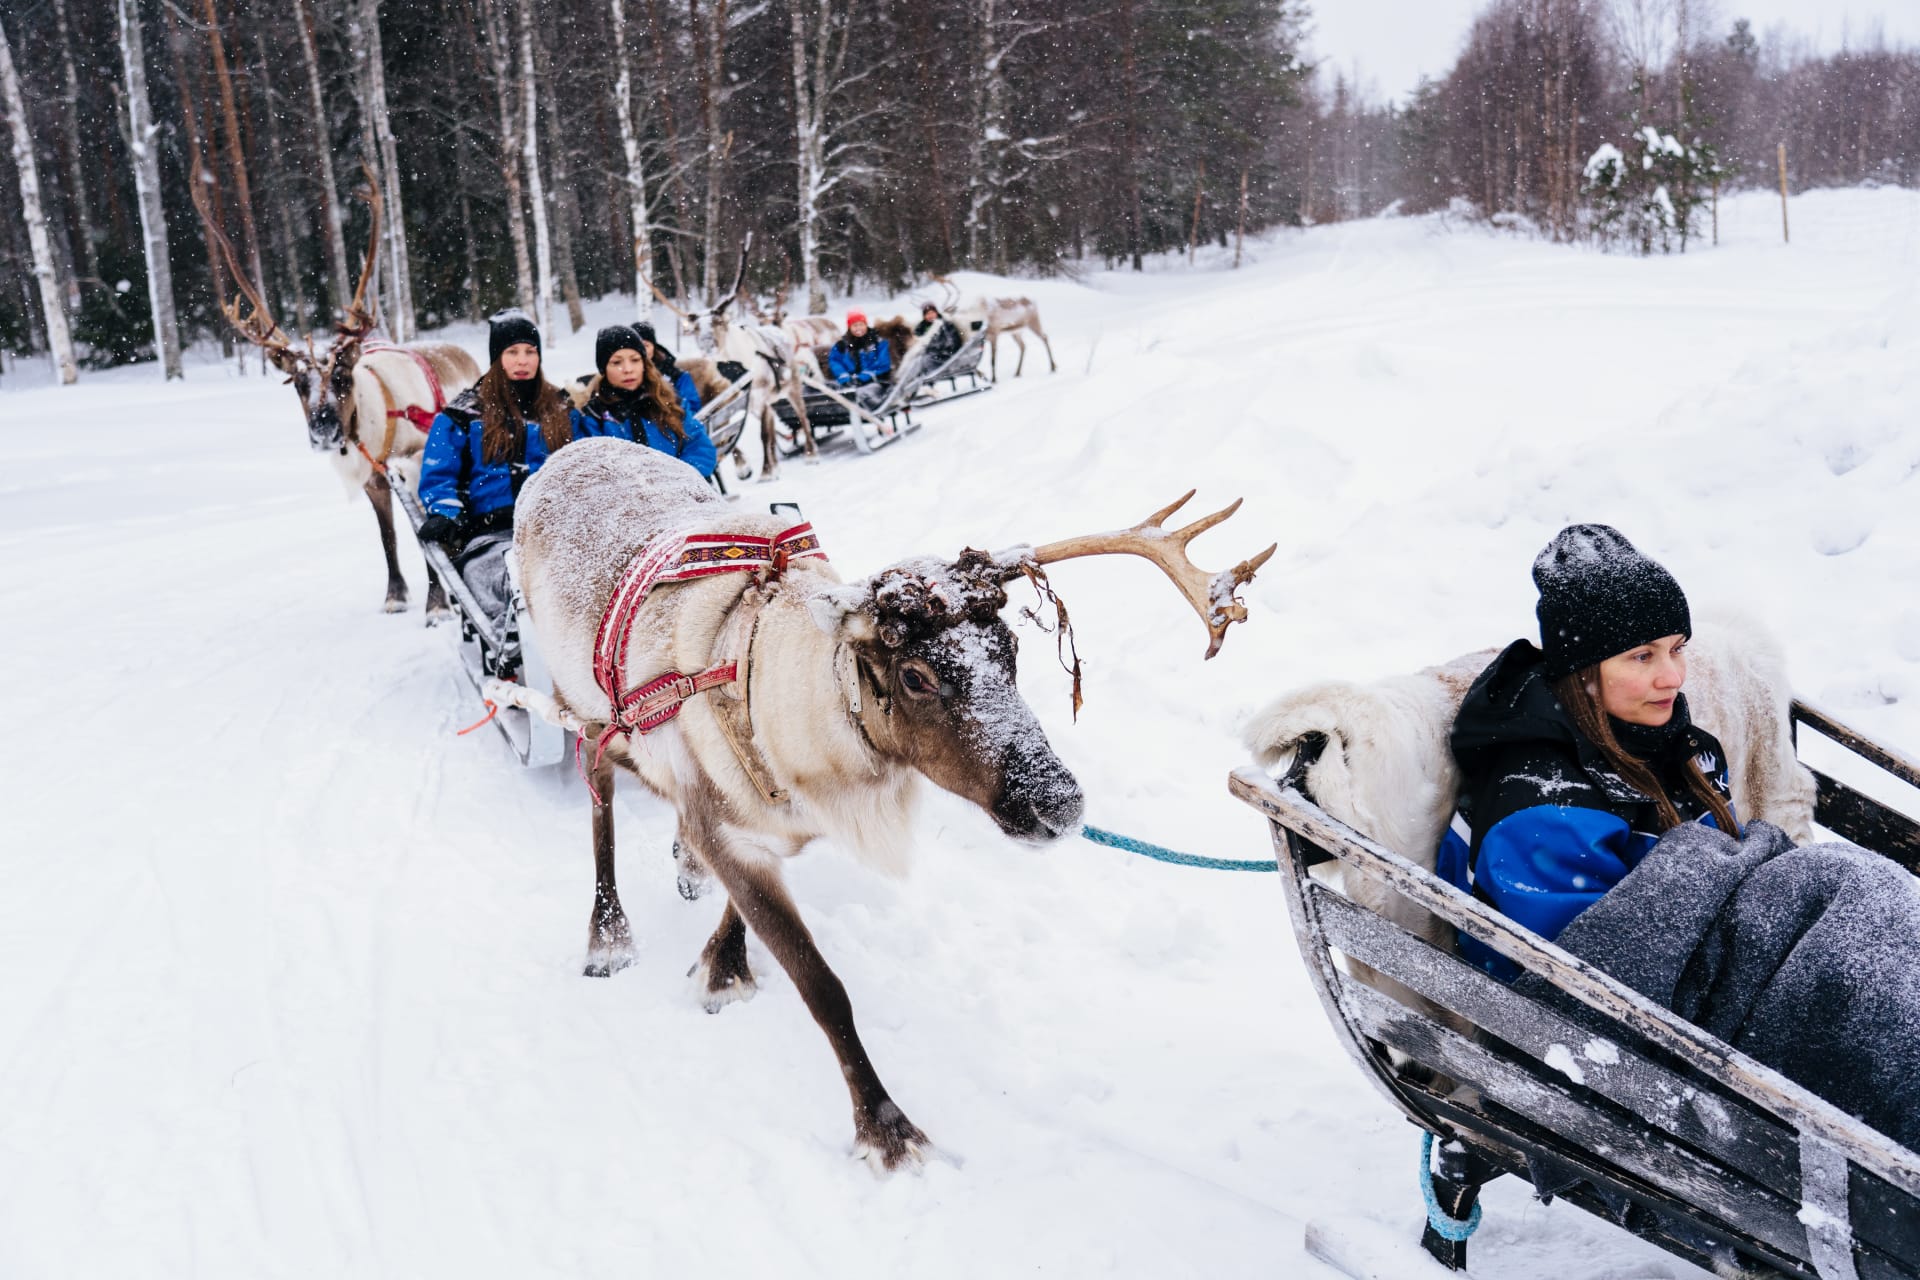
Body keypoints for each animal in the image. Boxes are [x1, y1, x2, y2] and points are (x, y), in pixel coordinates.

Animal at [195, 168, 480, 616]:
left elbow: (426, 535)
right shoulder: (375, 480)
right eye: (299, 384)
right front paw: (395, 597)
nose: (323, 432)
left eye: (343, 376)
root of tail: (463, 353)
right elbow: (388, 537)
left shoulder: (418, 463)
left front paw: (436, 605)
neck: (374, 422)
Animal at [498, 436, 1276, 1173]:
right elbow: (821, 987)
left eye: (1011, 648)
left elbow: (738, 904)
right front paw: (887, 1132)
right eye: (915, 674)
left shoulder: (762, 825)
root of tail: (566, 453)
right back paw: (607, 935)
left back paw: (682, 868)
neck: (761, 685)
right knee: (599, 795)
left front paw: (721, 962)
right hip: (580, 708)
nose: (1059, 802)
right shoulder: (728, 825)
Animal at [648, 241, 819, 481]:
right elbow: (727, 433)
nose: (708, 347)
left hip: (791, 386)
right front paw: (753, 469)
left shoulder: (758, 396)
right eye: (696, 328)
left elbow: (763, 434)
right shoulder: (734, 400)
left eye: (718, 322)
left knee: (802, 416)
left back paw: (811, 454)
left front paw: (766, 472)